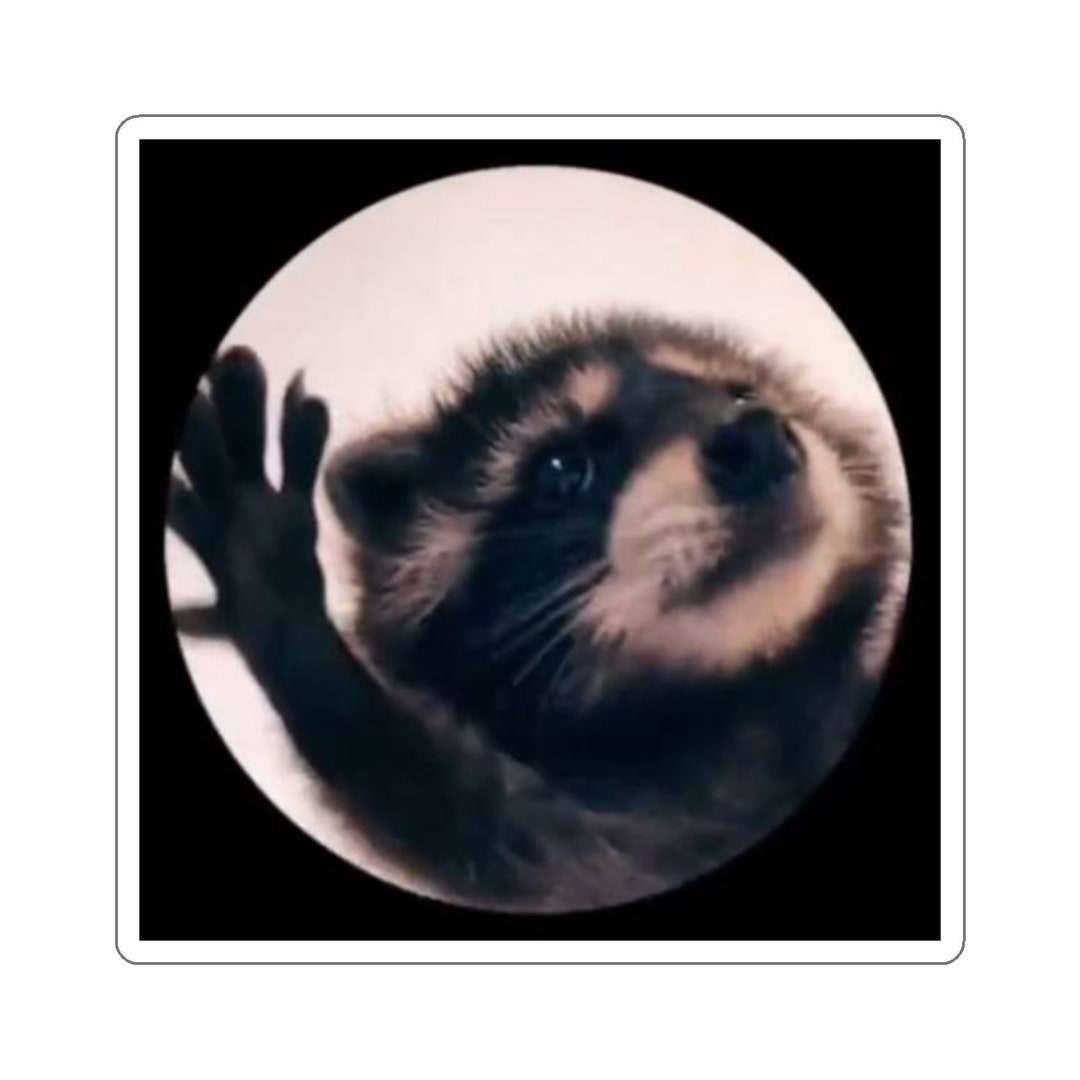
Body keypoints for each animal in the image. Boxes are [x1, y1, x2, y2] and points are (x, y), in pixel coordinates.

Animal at [168, 311, 909, 913]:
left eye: (742, 393)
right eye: (562, 469)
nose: (757, 438)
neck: (740, 701)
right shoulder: (621, 847)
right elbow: (464, 816)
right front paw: (284, 609)